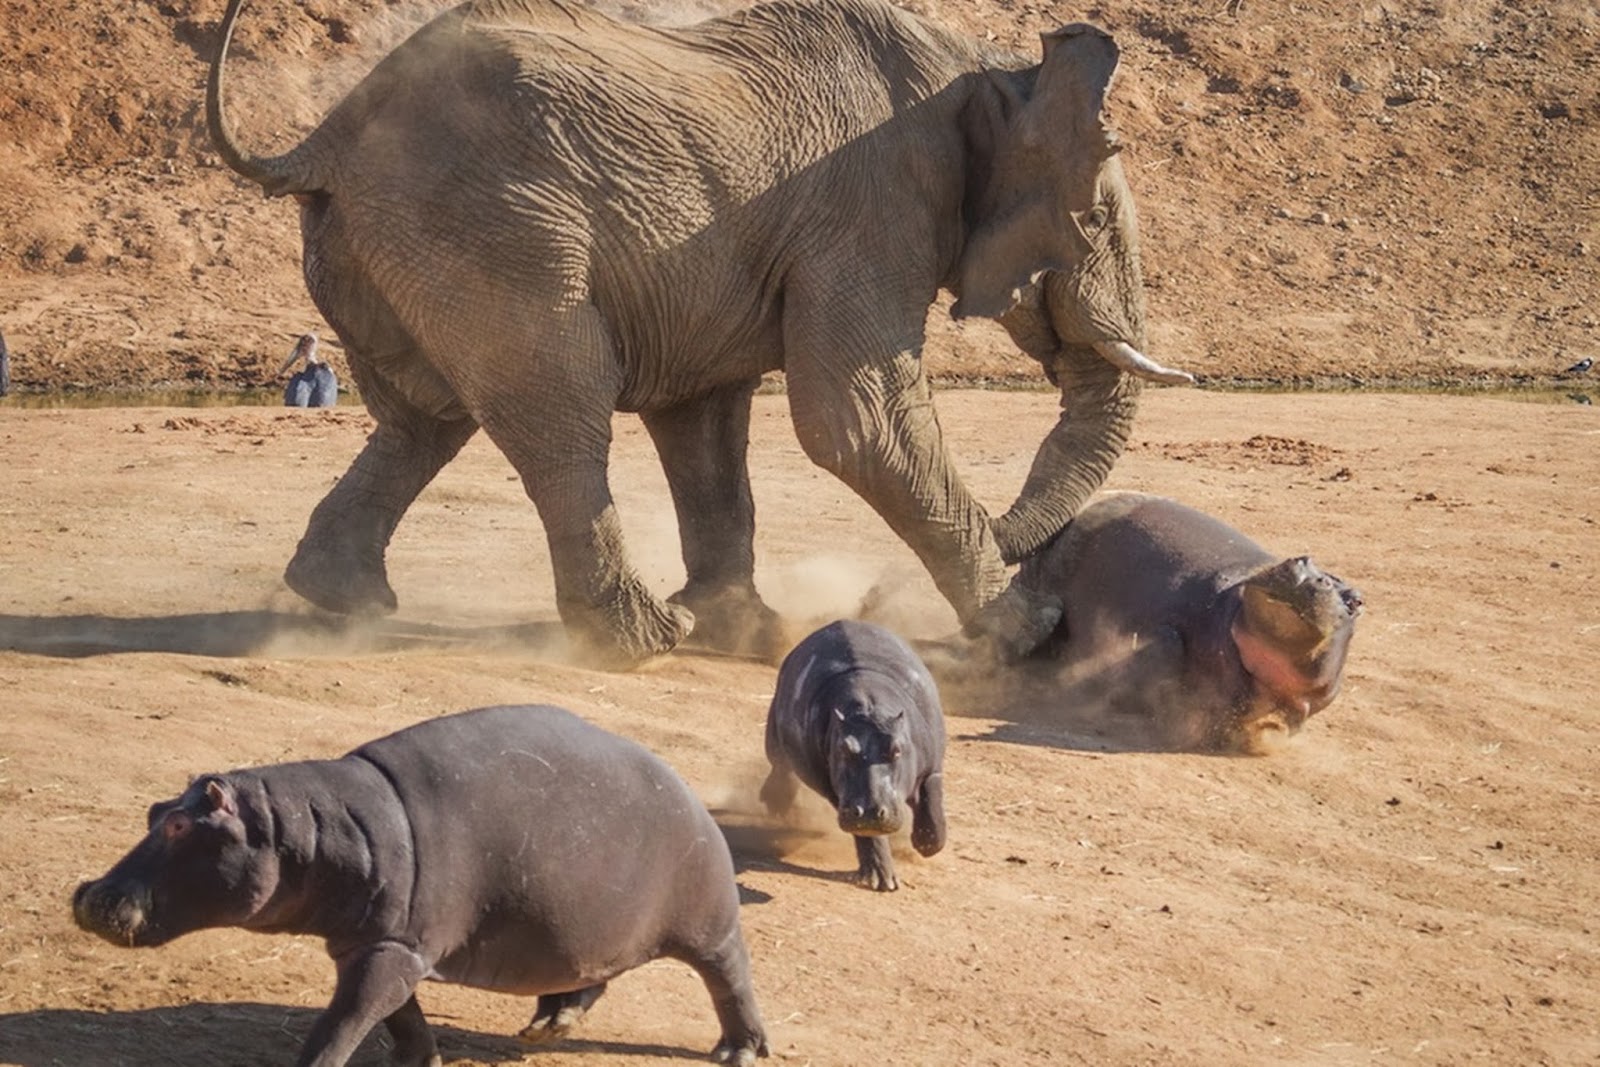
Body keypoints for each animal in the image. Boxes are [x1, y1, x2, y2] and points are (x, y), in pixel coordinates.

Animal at [207, 0, 1191, 666]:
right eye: (1097, 219)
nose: (877, 594)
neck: (988, 67)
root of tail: (329, 136)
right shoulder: (873, 206)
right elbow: (852, 419)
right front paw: (1025, 635)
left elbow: (706, 424)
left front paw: (751, 632)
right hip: (489, 231)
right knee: (560, 407)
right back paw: (643, 640)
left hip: (389, 247)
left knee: (424, 421)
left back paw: (345, 602)